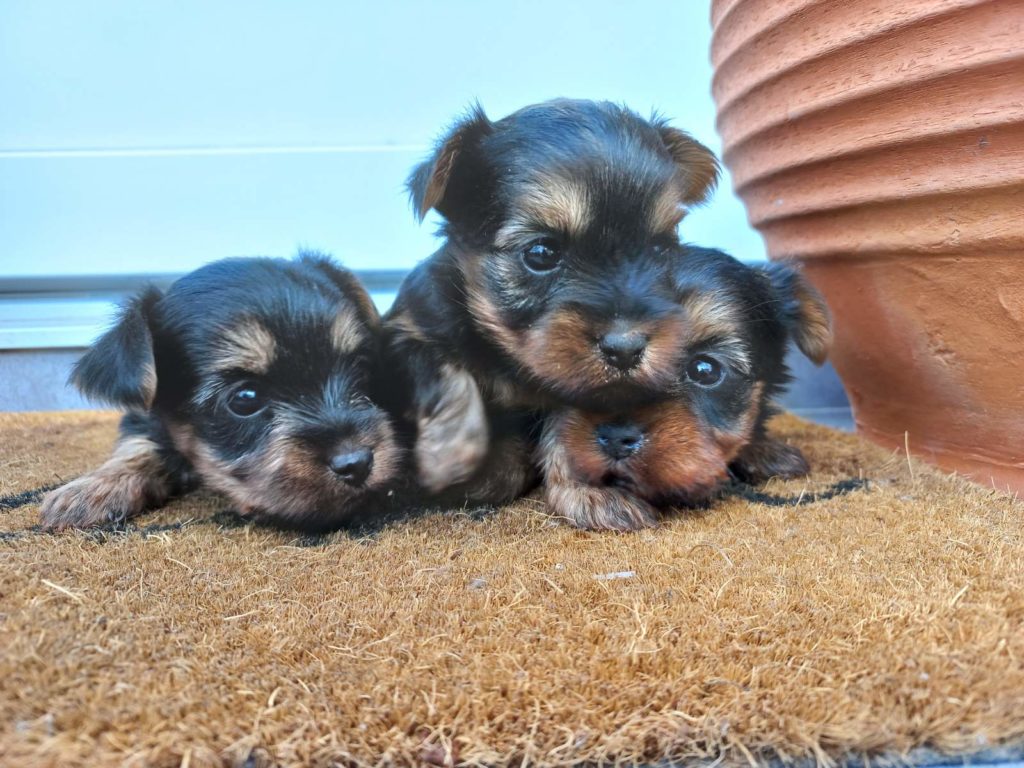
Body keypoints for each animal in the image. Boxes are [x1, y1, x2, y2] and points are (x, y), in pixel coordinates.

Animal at [43, 256, 403, 532]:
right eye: (245, 399)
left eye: (359, 371)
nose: (356, 462)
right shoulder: (141, 418)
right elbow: (139, 444)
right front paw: (92, 489)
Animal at [382, 97, 720, 505]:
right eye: (541, 253)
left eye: (660, 249)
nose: (627, 348)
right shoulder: (406, 328)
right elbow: (441, 367)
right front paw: (452, 447)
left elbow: (567, 422)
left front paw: (592, 494)